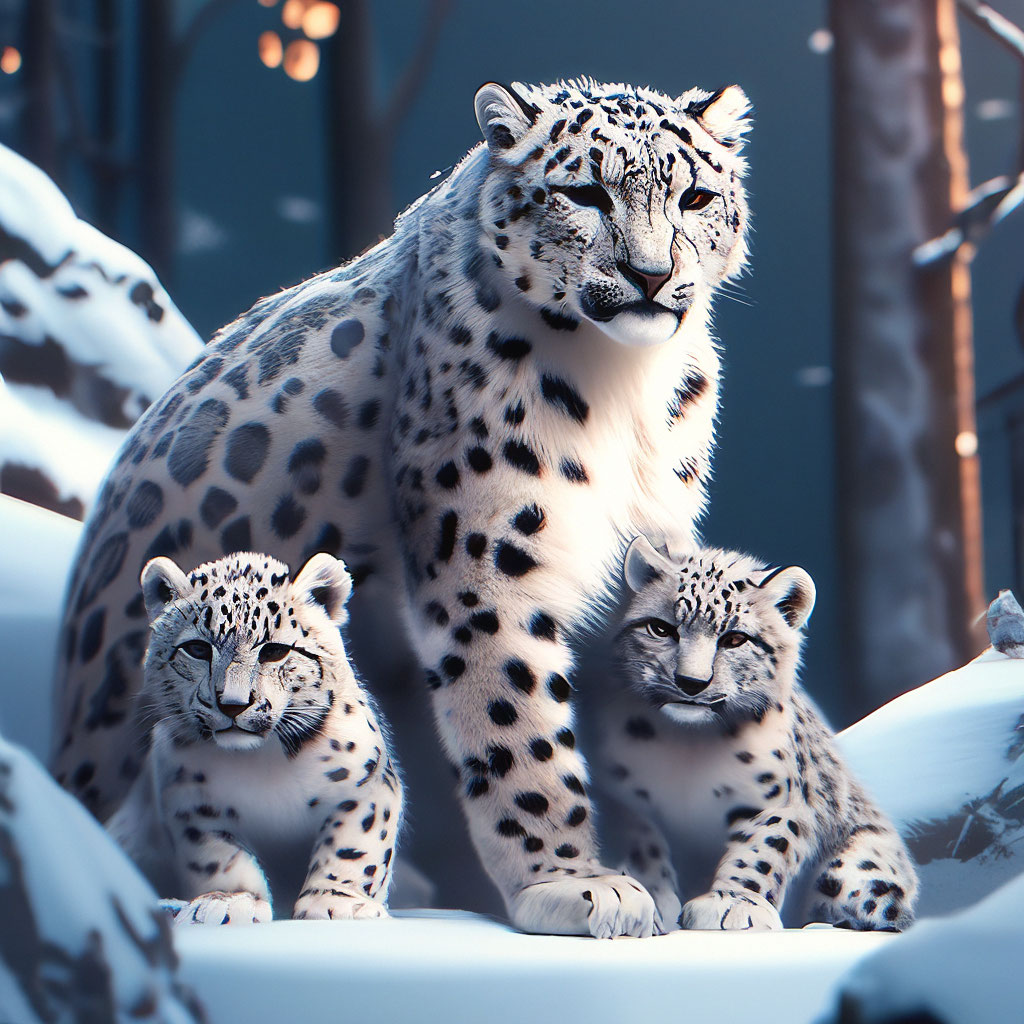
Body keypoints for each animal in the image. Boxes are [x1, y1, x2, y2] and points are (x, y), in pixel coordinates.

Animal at [106, 551, 402, 924]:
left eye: (275, 651)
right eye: (197, 649)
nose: (233, 704)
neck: (262, 761)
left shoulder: (368, 784)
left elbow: (356, 846)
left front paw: (339, 902)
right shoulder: (191, 801)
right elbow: (220, 857)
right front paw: (231, 901)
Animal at [591, 536, 918, 932]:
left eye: (735, 639)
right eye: (661, 629)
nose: (691, 683)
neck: (687, 746)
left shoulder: (777, 801)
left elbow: (762, 849)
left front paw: (733, 905)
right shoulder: (621, 793)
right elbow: (641, 842)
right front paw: (653, 899)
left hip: (861, 867)